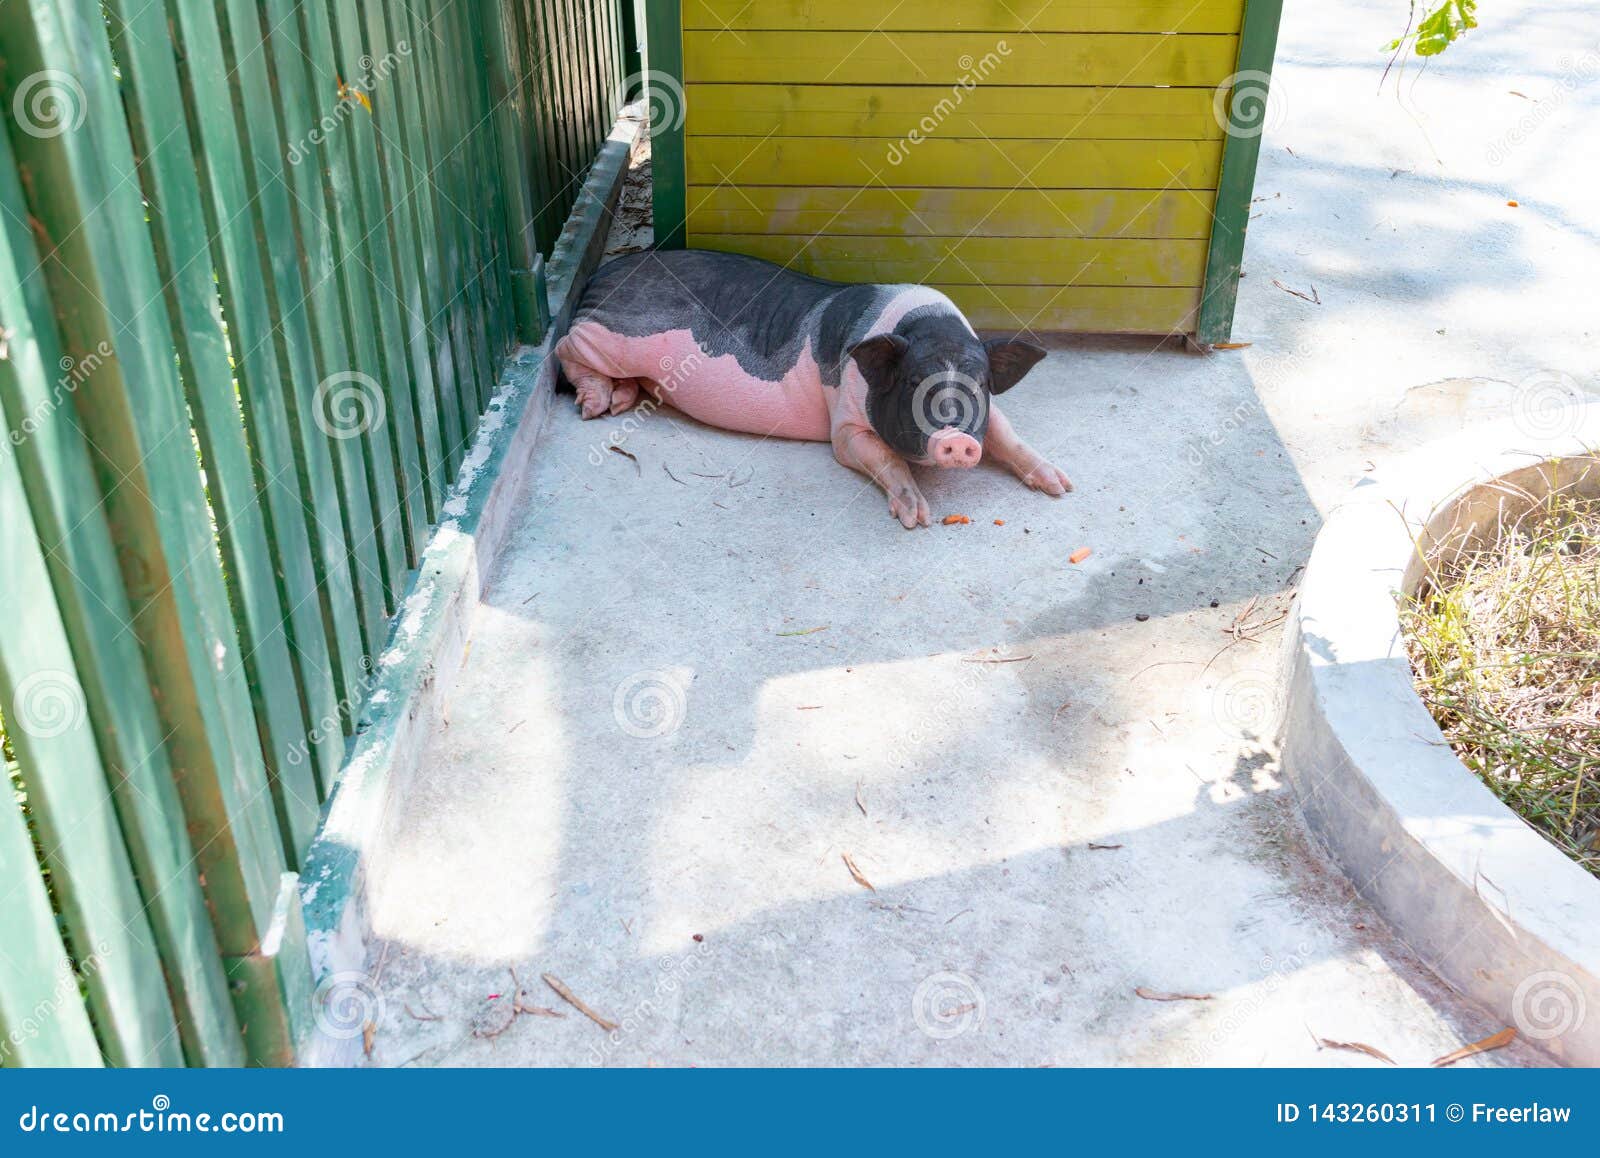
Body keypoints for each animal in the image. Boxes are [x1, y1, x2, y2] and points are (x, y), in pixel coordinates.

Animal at [554, 249, 1072, 528]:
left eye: (979, 383)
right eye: (912, 381)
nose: (959, 439)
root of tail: (604, 273)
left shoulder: (991, 416)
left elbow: (1006, 433)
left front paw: (1062, 487)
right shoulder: (843, 427)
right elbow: (882, 457)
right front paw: (917, 516)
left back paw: (619, 400)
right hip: (614, 337)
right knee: (563, 346)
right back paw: (596, 406)